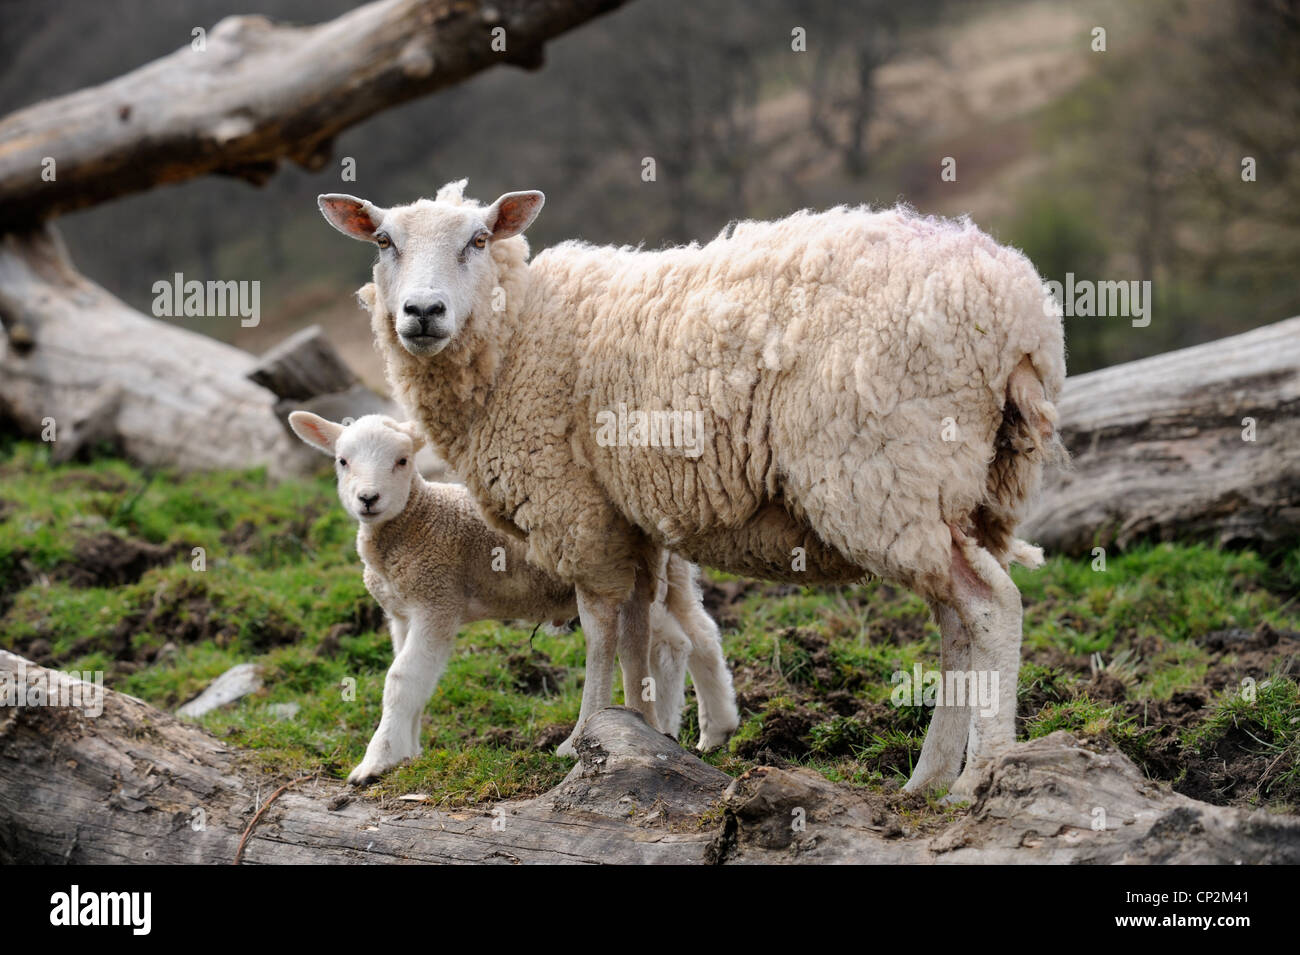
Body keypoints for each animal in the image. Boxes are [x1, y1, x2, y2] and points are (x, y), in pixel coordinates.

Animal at [287, 410, 739, 785]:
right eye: (342, 461)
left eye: (401, 461)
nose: (368, 499)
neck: (417, 520)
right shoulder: (402, 613)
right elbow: (415, 679)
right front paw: (408, 752)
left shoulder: (437, 599)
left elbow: (400, 678)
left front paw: (375, 762)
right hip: (673, 576)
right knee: (698, 635)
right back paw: (714, 729)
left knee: (660, 643)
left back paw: (651, 728)